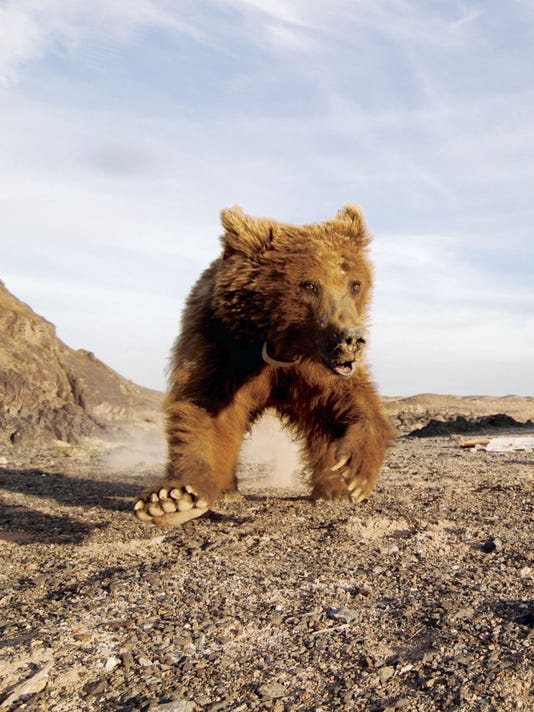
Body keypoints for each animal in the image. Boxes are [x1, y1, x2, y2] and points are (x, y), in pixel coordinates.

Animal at [134, 204, 394, 526]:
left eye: (355, 284)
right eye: (310, 284)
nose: (352, 338)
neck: (281, 344)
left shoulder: (316, 368)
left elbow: (348, 402)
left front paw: (354, 473)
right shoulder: (223, 347)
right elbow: (204, 409)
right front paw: (173, 499)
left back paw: (334, 490)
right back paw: (227, 490)